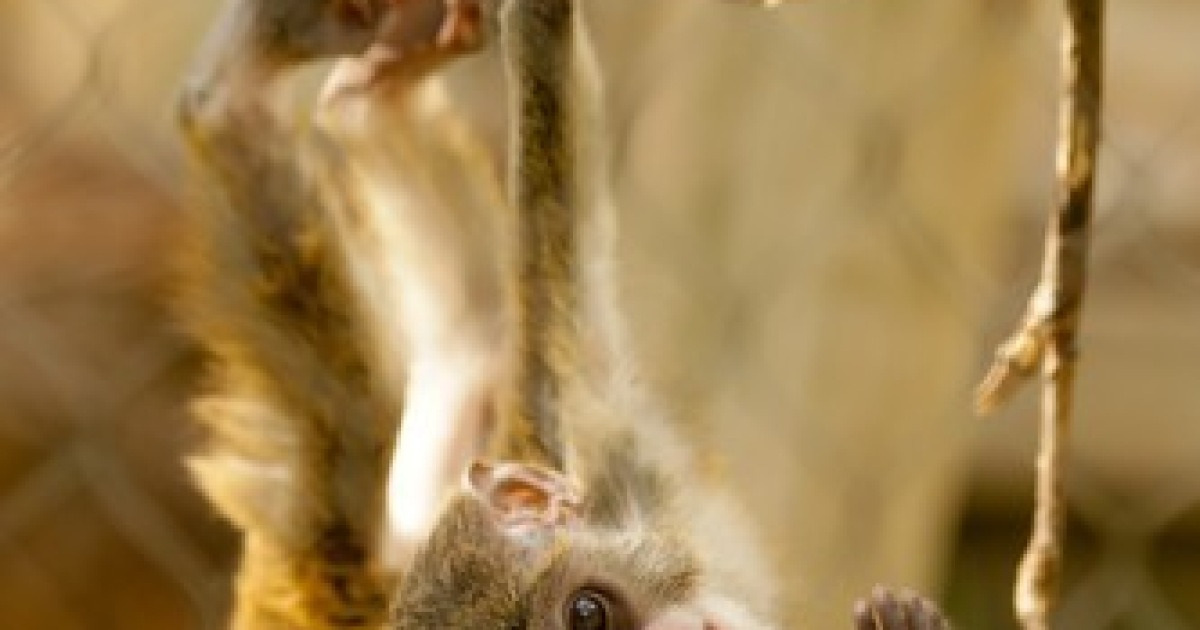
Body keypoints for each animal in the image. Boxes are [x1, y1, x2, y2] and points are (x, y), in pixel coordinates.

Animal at [175, 0, 953, 628]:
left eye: (586, 614)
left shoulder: (611, 449)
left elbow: (558, 218)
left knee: (471, 335)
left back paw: (332, 96)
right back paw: (262, 100)